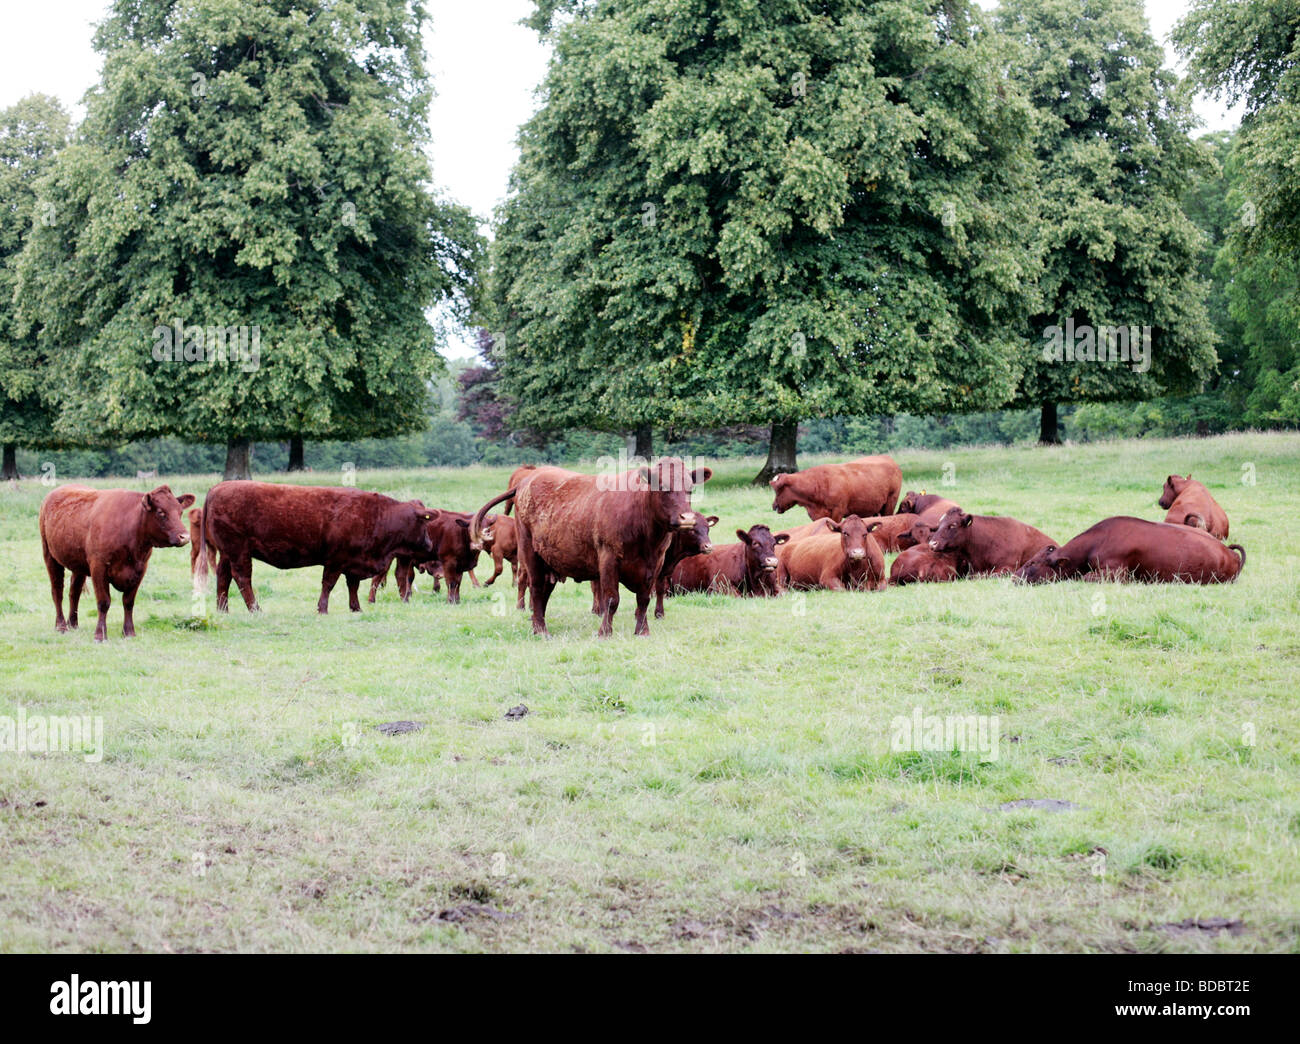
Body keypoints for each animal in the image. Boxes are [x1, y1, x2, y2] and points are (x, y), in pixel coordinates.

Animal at [39, 484, 195, 641]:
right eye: (161, 512)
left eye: (180, 512)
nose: (185, 537)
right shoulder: (98, 567)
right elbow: (103, 602)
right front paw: (100, 634)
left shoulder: (140, 569)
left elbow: (128, 602)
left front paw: (129, 632)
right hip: (50, 556)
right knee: (57, 591)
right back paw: (61, 626)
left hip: (78, 564)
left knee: (74, 592)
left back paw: (73, 624)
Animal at [196, 482, 437, 613]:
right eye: (423, 523)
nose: (429, 544)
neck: (376, 515)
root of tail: (218, 487)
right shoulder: (336, 560)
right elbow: (328, 584)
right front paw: (323, 609)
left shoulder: (353, 561)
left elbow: (353, 586)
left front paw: (356, 608)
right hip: (239, 551)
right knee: (242, 578)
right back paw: (255, 609)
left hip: (227, 553)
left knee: (223, 576)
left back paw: (223, 609)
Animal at [471, 458, 712, 637]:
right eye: (662, 487)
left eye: (690, 489)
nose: (687, 518)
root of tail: (528, 478)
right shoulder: (608, 559)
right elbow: (611, 599)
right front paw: (605, 632)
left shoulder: (655, 564)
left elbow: (644, 599)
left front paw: (642, 631)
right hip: (530, 553)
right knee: (536, 589)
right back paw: (541, 630)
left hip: (550, 560)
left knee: (544, 592)